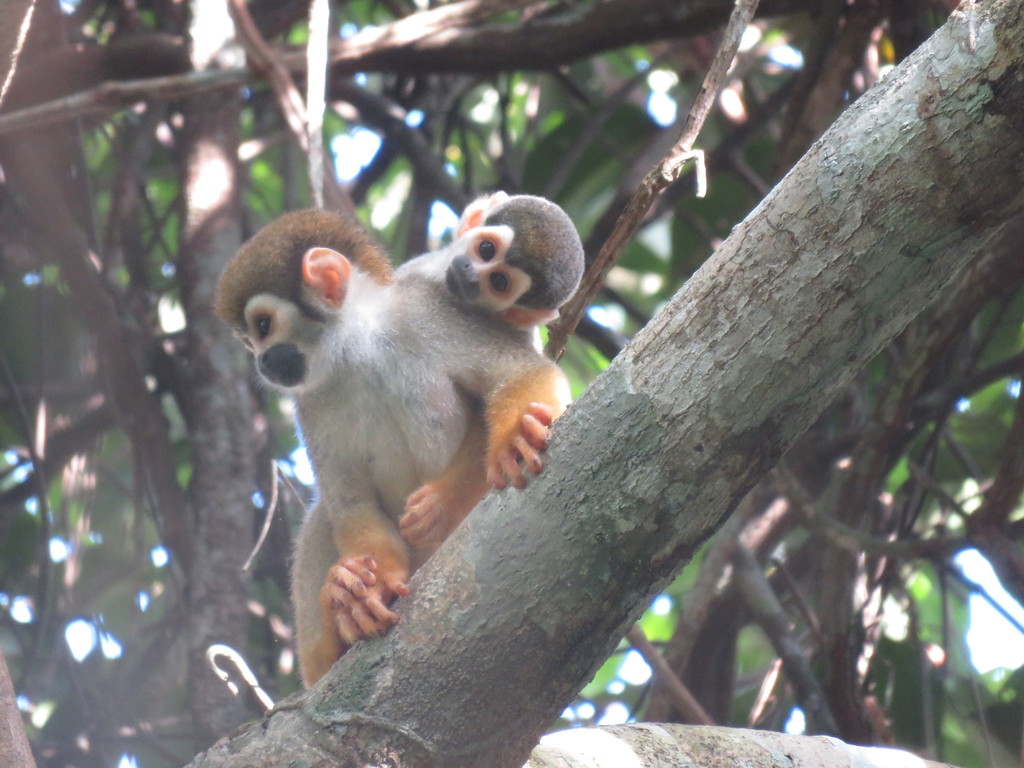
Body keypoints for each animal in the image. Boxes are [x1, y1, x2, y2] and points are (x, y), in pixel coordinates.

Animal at [214, 200, 583, 686]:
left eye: (262, 325)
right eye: (248, 339)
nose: (261, 362)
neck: (359, 346)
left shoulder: (429, 313)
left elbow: (523, 375)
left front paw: (506, 447)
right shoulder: (307, 400)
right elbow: (349, 499)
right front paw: (362, 591)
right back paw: (332, 632)